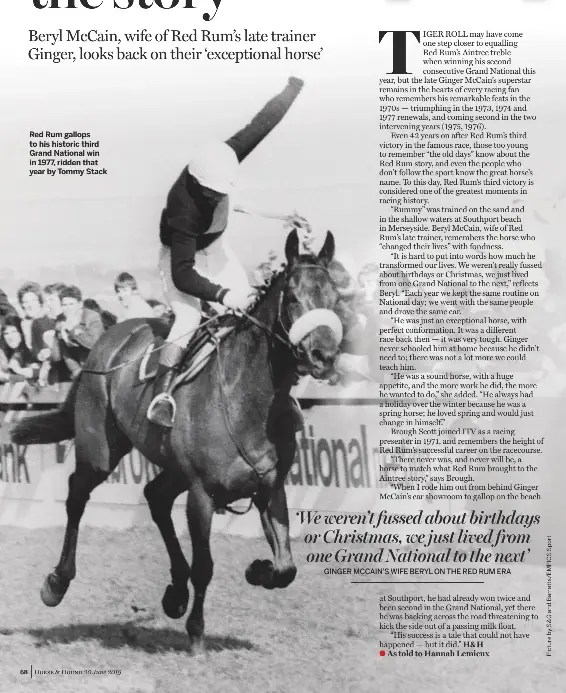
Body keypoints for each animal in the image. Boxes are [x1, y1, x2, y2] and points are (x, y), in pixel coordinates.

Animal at [11, 229, 344, 653]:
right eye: (294, 298)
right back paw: (57, 582)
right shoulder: (202, 491)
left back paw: (175, 592)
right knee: (77, 495)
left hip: (171, 467)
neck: (248, 396)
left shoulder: (270, 486)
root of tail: (106, 340)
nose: (323, 356)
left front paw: (258, 570)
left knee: (155, 496)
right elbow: (205, 566)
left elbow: (286, 566)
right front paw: (197, 632)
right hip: (100, 449)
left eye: (335, 298)